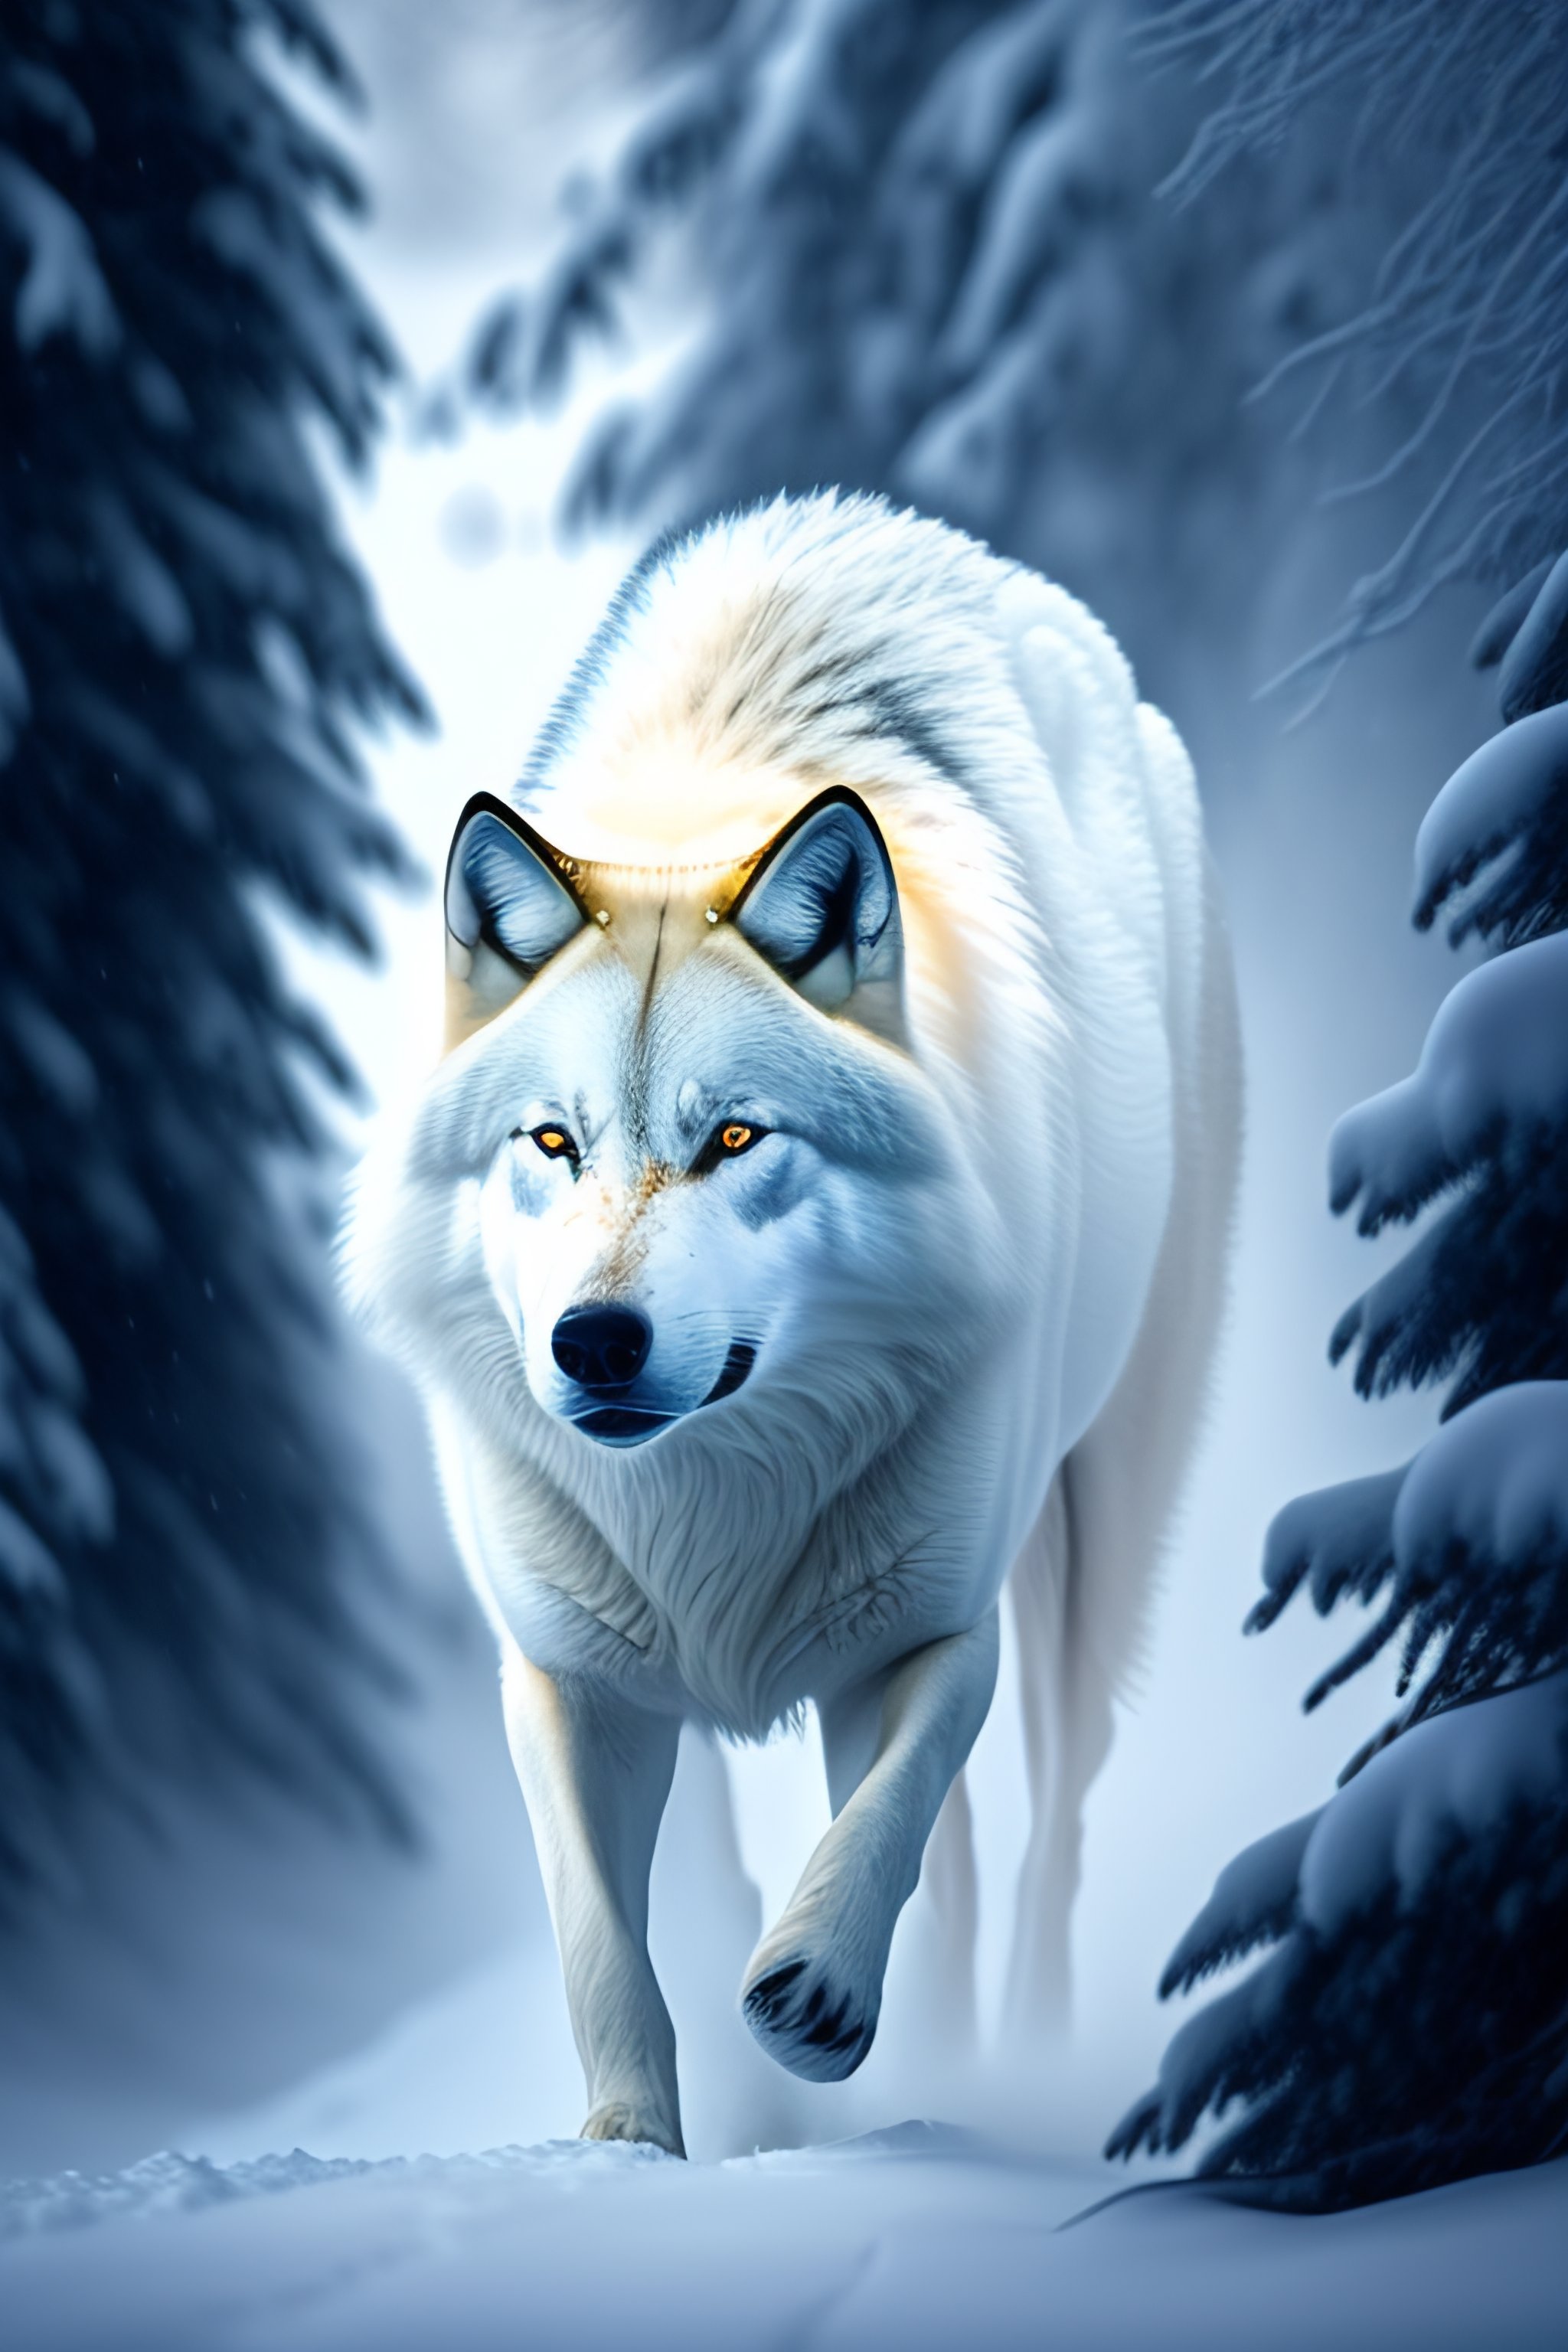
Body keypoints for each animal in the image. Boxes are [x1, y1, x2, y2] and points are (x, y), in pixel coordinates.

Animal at [344, 492, 1240, 2157]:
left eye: (734, 1140)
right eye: (552, 1141)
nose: (595, 1344)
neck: (715, 1499)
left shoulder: (931, 1626)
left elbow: (886, 1819)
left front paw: (816, 1989)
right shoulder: (568, 1678)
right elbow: (603, 1940)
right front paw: (631, 2144)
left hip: (1099, 1532)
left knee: (1046, 1832)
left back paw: (1007, 2058)